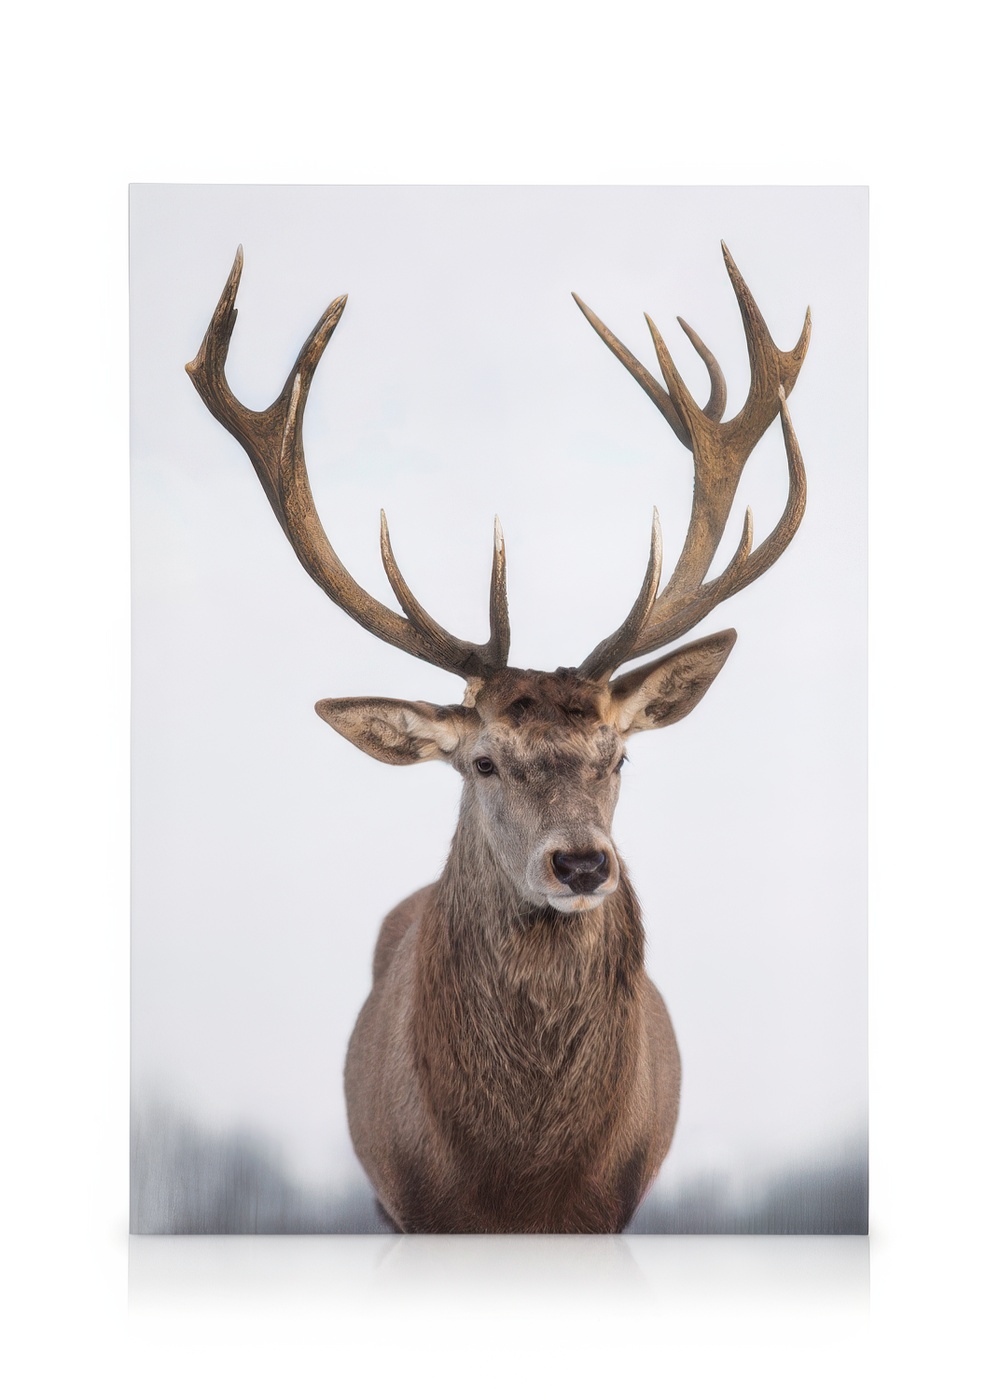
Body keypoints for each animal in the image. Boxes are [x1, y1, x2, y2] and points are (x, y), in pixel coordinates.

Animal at [186, 243, 810, 1233]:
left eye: (620, 756)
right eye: (482, 761)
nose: (582, 863)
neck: (520, 1178)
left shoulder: (611, 1206)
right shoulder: (414, 1203)